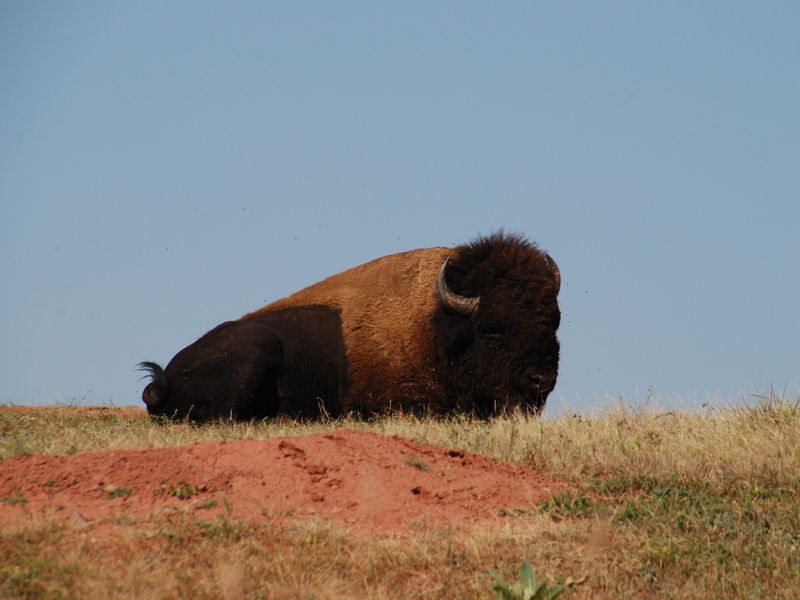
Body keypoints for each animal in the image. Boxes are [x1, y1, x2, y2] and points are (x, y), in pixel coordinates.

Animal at [139, 232, 561, 421]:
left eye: (553, 321)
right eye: (492, 328)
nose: (541, 379)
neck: (439, 329)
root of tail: (167, 377)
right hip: (258, 347)